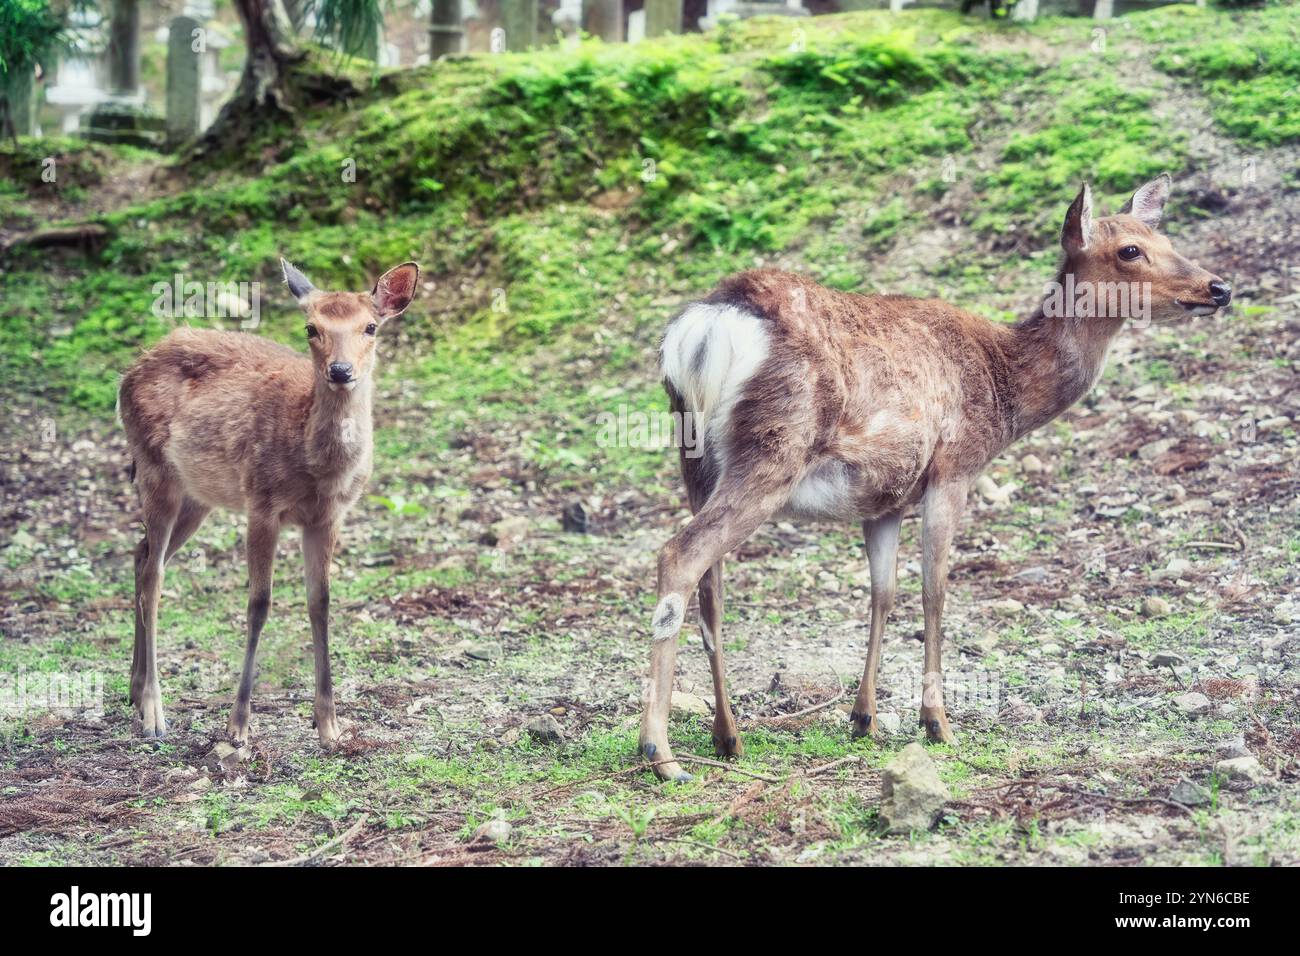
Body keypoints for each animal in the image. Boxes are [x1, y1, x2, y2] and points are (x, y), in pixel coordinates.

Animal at [117, 259, 420, 746]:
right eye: (311, 328)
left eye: (371, 326)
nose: (340, 370)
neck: (317, 469)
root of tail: (129, 371)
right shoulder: (261, 504)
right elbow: (259, 605)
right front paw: (237, 725)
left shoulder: (329, 517)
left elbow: (321, 602)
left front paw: (329, 726)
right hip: (153, 469)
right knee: (153, 575)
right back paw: (153, 712)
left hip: (198, 495)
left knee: (140, 552)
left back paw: (133, 686)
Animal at [640, 176, 1231, 781]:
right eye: (1130, 250)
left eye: (1165, 237)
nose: (1218, 288)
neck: (1004, 386)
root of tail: (706, 328)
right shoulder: (954, 467)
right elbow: (935, 591)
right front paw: (937, 723)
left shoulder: (885, 498)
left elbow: (882, 593)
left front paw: (864, 719)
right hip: (774, 449)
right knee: (681, 555)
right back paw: (661, 752)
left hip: (694, 461)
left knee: (711, 585)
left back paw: (727, 735)